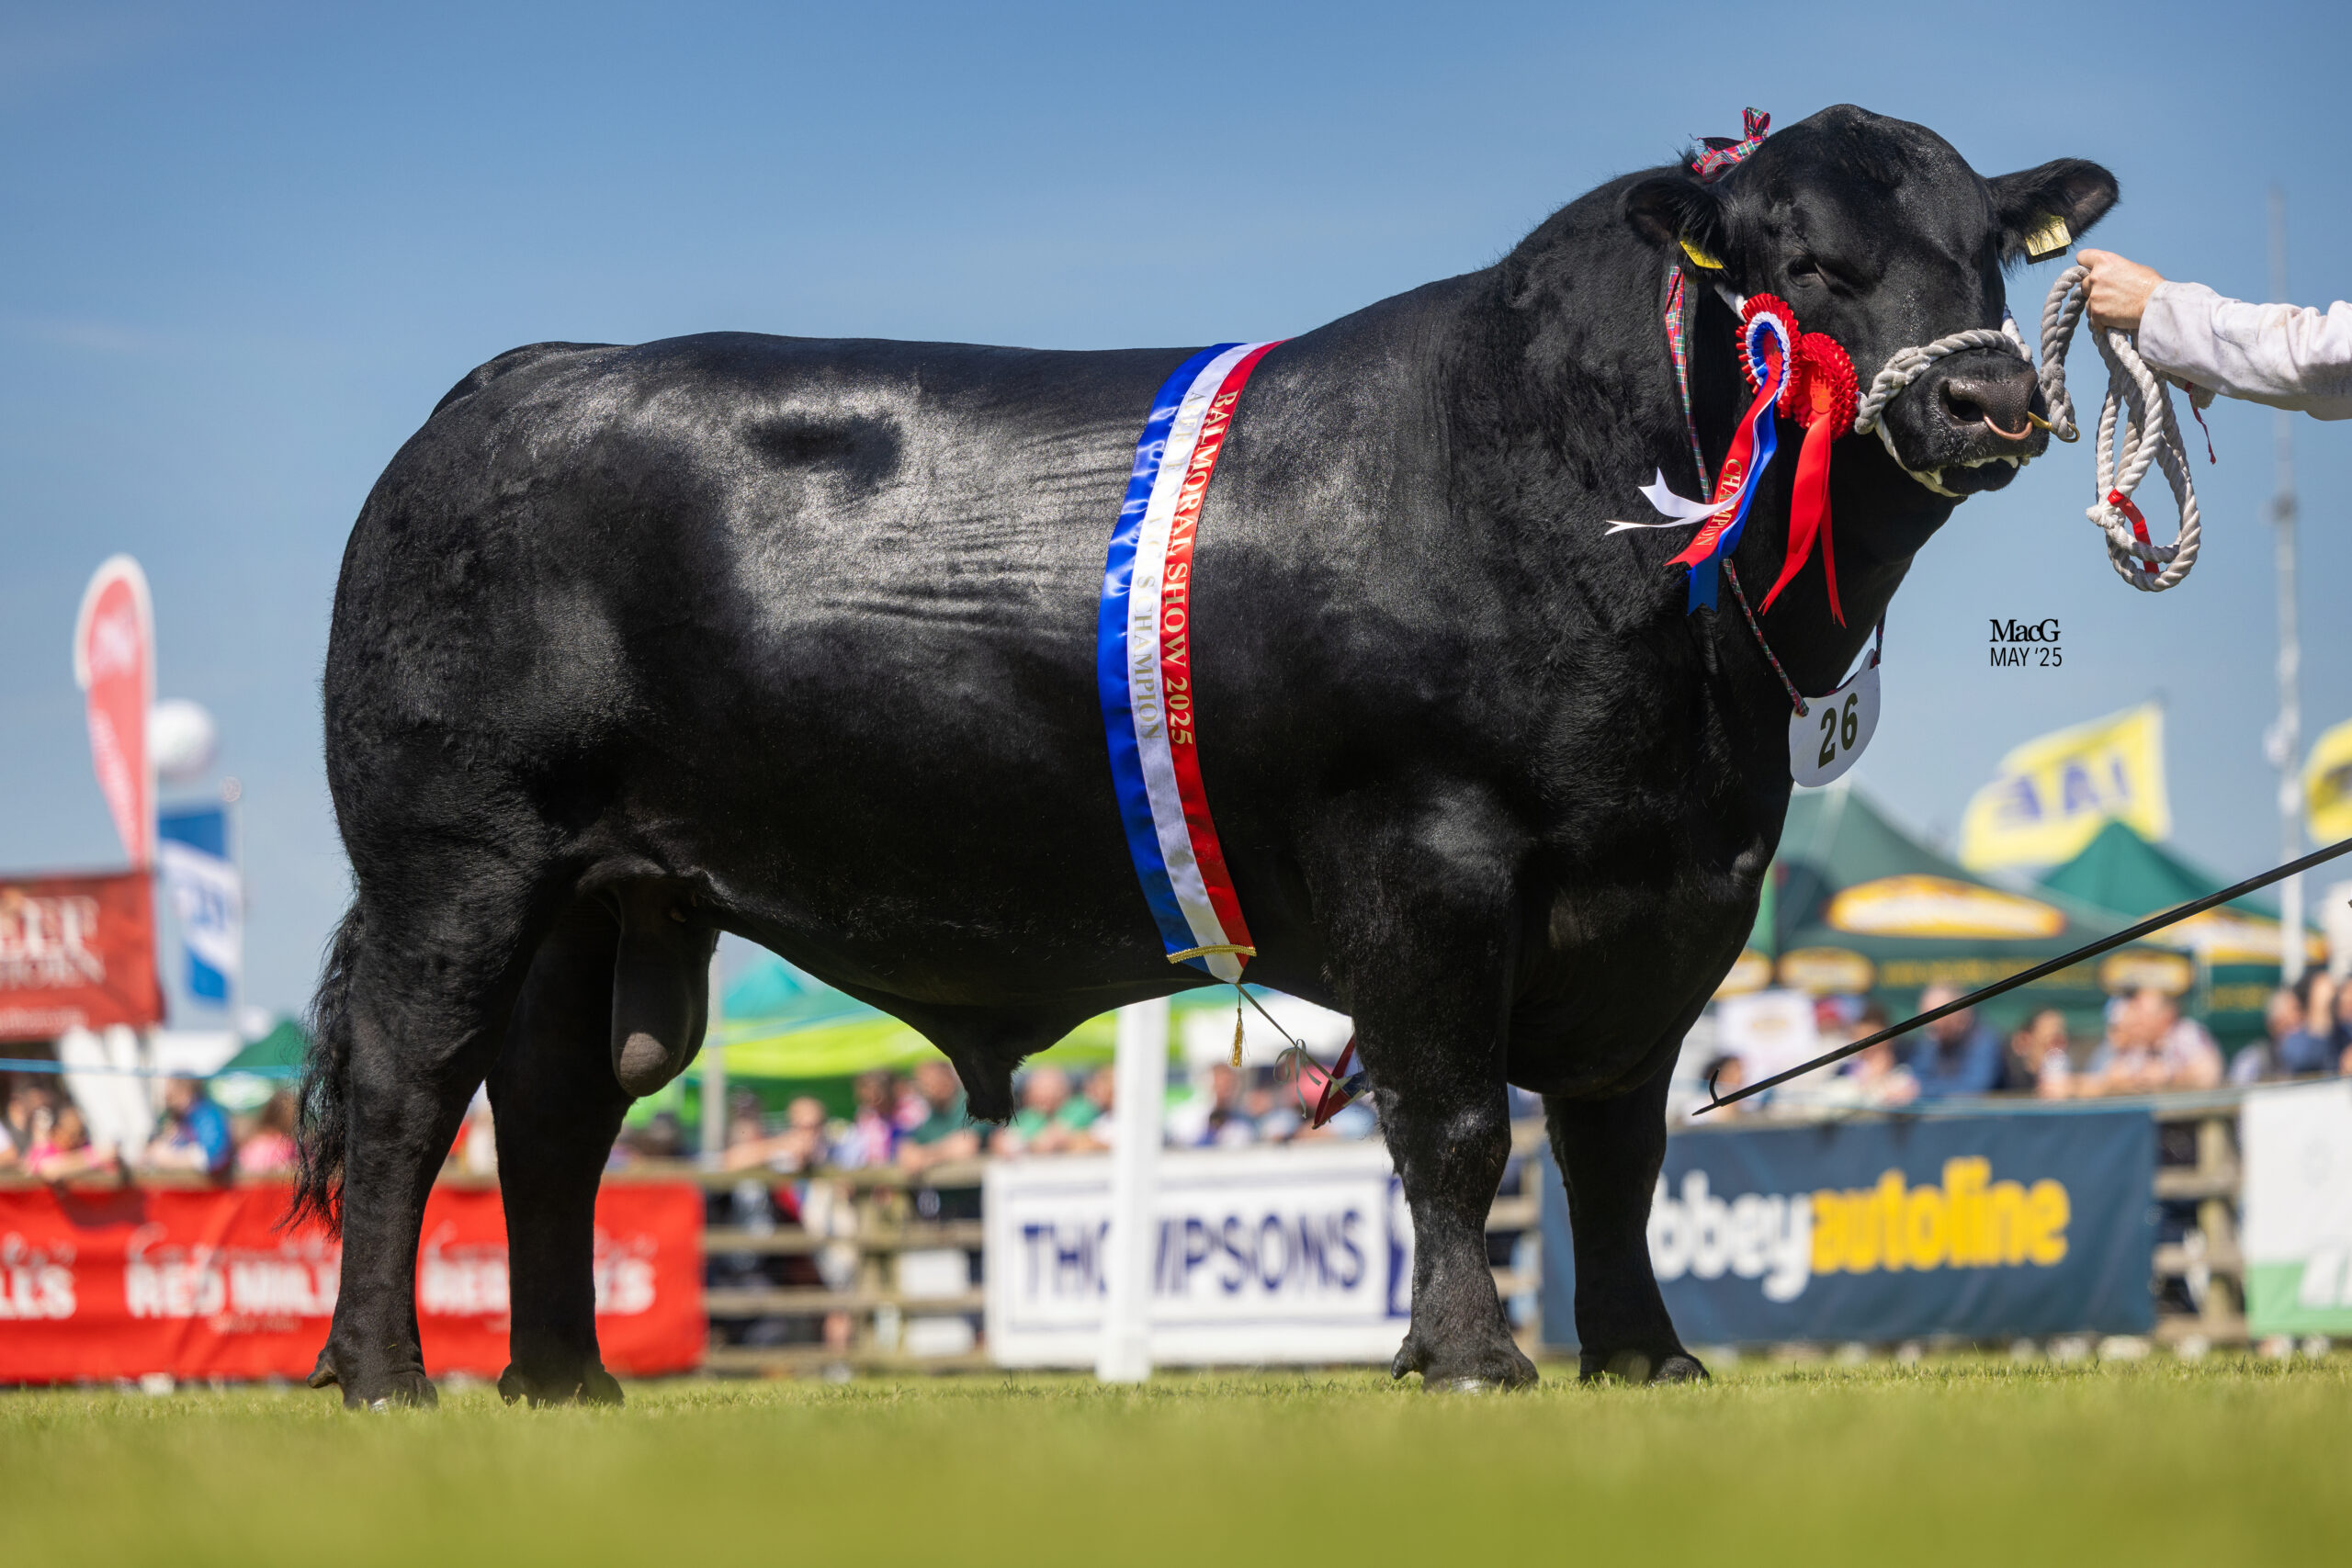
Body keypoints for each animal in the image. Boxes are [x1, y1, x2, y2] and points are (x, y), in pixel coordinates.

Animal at [295, 104, 2115, 1405]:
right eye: (1804, 264)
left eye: (1988, 256)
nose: (1990, 400)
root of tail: (519, 375)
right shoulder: (1427, 854)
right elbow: (1458, 1124)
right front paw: (1473, 1358)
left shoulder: (1674, 892)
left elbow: (1616, 1148)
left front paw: (1645, 1355)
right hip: (456, 856)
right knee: (408, 1092)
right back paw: (387, 1379)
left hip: (597, 891)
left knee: (548, 1116)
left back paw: (564, 1381)